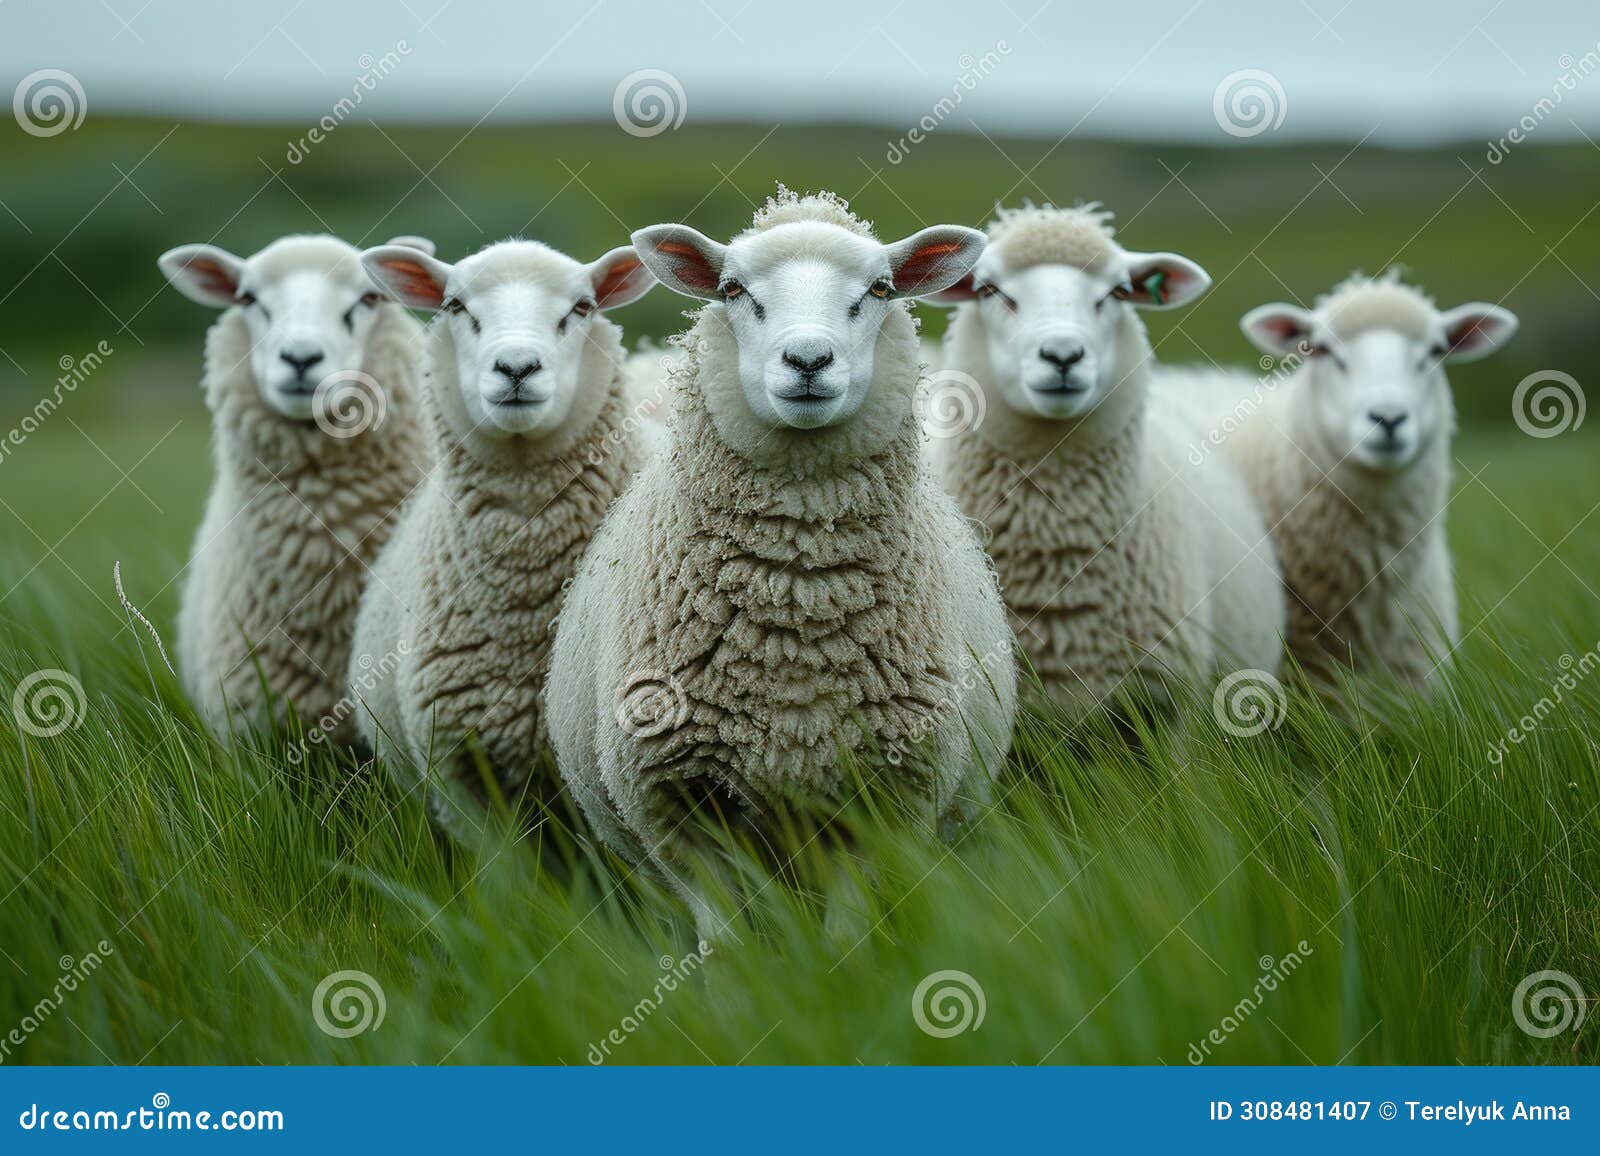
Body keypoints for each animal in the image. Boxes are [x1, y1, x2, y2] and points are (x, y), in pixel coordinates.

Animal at [545, 189, 1018, 928]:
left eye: (880, 289)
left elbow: (846, 932)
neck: (796, 596)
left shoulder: (889, 796)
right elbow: (728, 933)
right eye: (733, 290)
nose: (808, 359)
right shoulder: (676, 805)